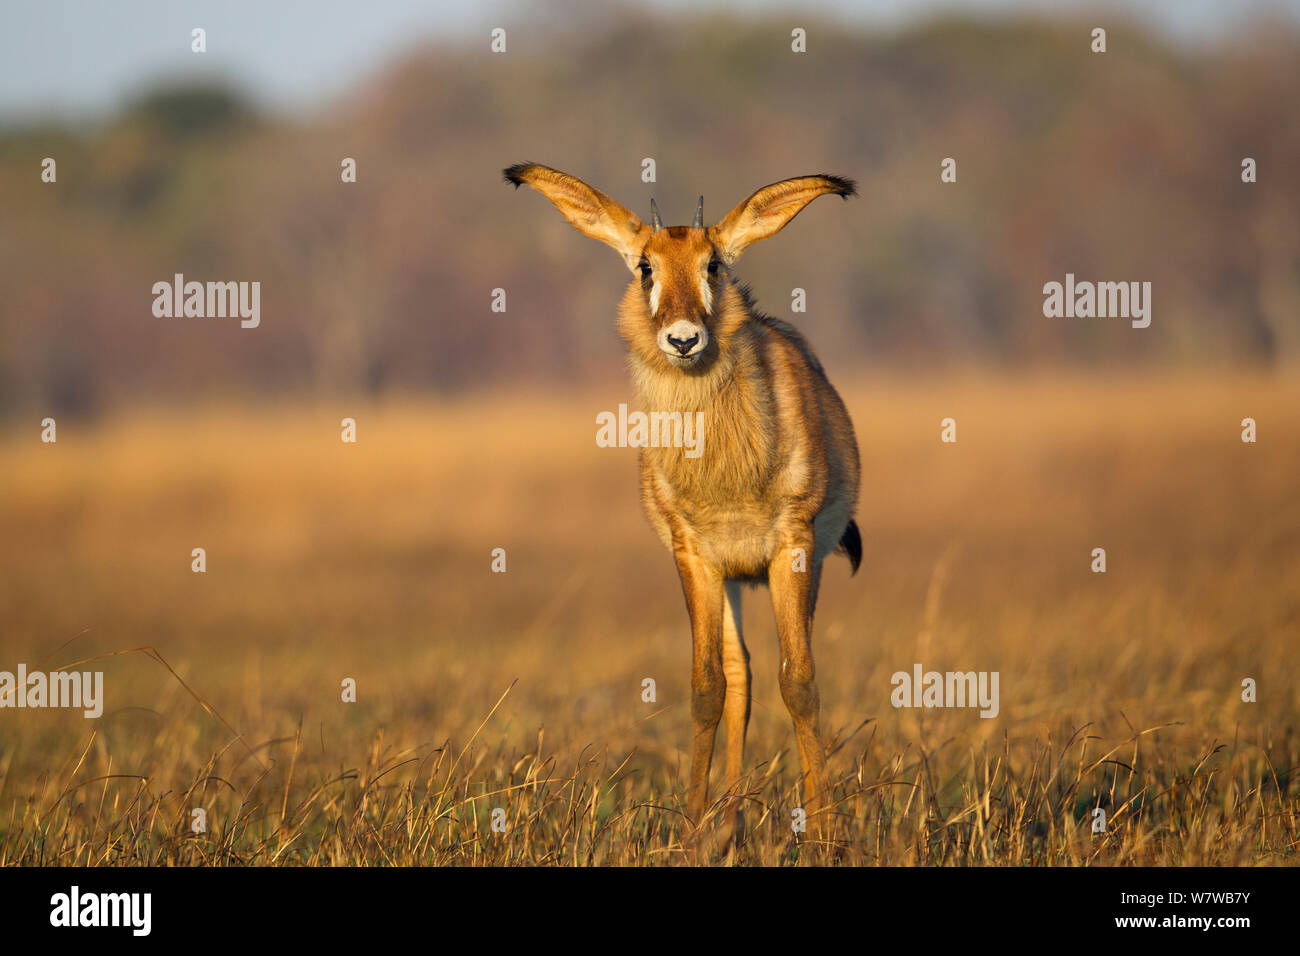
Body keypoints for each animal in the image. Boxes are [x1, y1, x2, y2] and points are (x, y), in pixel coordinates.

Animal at [504, 163, 862, 838]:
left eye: (713, 263)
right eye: (645, 266)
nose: (683, 339)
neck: (726, 476)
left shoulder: (793, 546)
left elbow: (801, 682)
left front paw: (826, 834)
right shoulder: (694, 555)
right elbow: (707, 687)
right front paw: (694, 829)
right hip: (731, 580)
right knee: (741, 671)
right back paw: (731, 820)